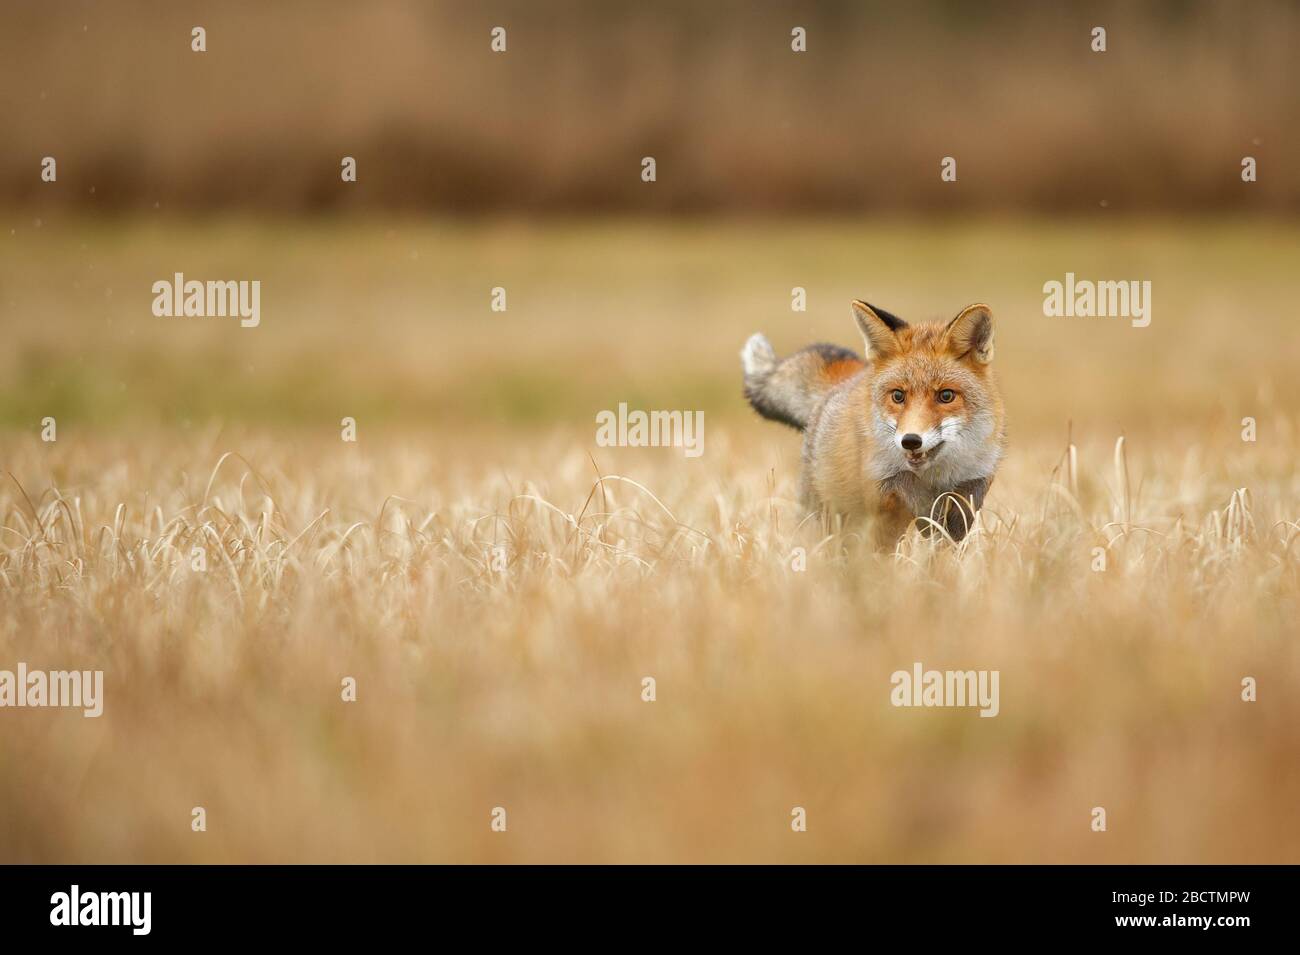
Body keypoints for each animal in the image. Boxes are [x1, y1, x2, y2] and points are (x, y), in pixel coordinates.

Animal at [741, 300, 1005, 543]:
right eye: (898, 396)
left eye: (946, 396)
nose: (911, 441)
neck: (934, 474)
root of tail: (847, 379)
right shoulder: (879, 481)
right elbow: (906, 487)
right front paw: (930, 520)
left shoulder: (980, 469)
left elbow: (967, 502)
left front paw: (951, 533)